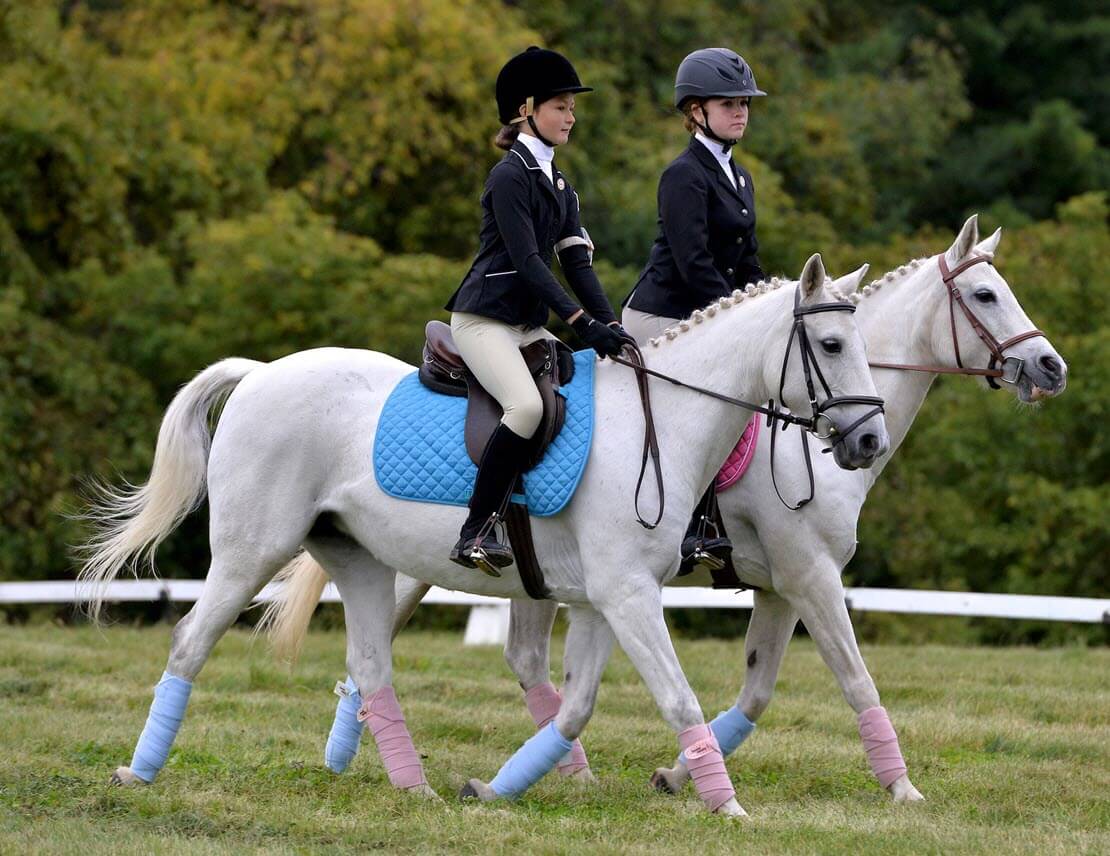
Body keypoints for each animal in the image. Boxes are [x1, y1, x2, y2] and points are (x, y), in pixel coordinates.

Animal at [79, 253, 887, 817]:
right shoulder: (628, 596)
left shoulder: (604, 600)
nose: (868, 441)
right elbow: (680, 701)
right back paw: (136, 774)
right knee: (191, 641)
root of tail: (260, 374)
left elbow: (576, 705)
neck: (661, 422)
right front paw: (730, 808)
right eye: (831, 344)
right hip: (251, 552)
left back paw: (416, 792)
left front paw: (497, 789)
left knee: (371, 665)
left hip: (359, 559)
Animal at [269, 215, 1067, 804]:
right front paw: (902, 790)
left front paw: (678, 775)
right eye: (986, 296)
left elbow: (757, 692)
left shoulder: (779, 587)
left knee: (515, 658)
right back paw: (359, 753)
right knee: (385, 640)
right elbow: (855, 679)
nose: (1051, 367)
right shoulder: (810, 577)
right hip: (428, 555)